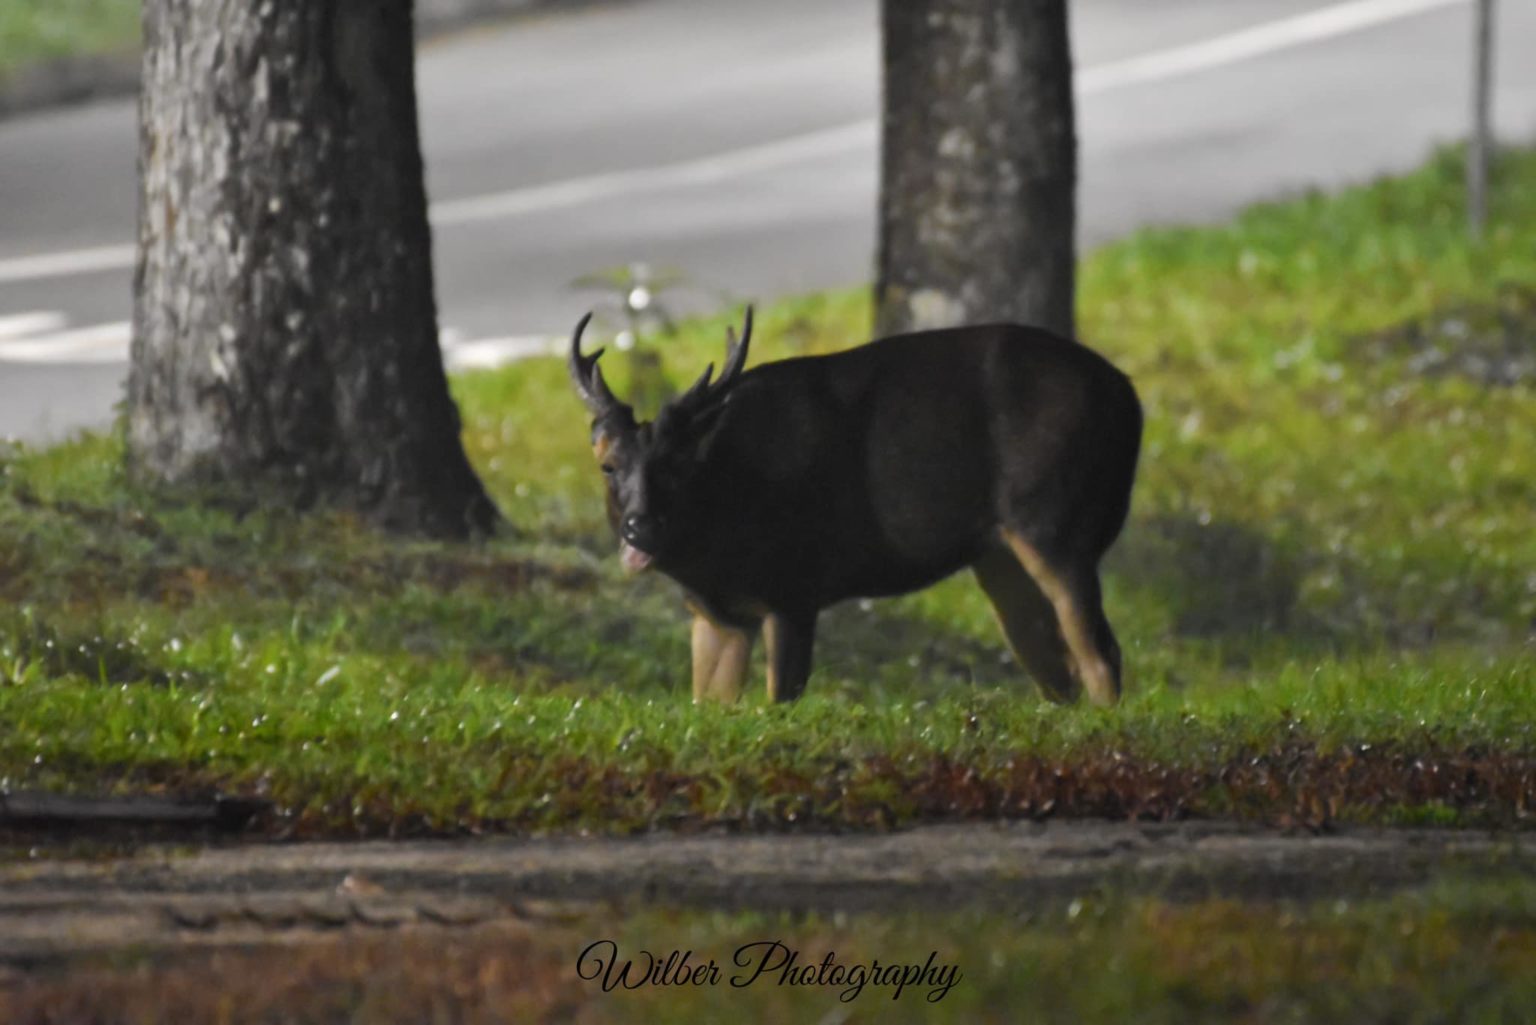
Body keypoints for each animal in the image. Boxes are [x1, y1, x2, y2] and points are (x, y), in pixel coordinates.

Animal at [569, 307, 1142, 706]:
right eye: (608, 466)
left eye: (678, 463)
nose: (640, 529)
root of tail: (1129, 397)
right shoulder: (717, 614)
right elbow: (708, 705)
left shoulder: (794, 587)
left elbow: (779, 701)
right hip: (999, 558)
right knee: (1057, 668)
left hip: (1054, 521)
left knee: (1101, 655)